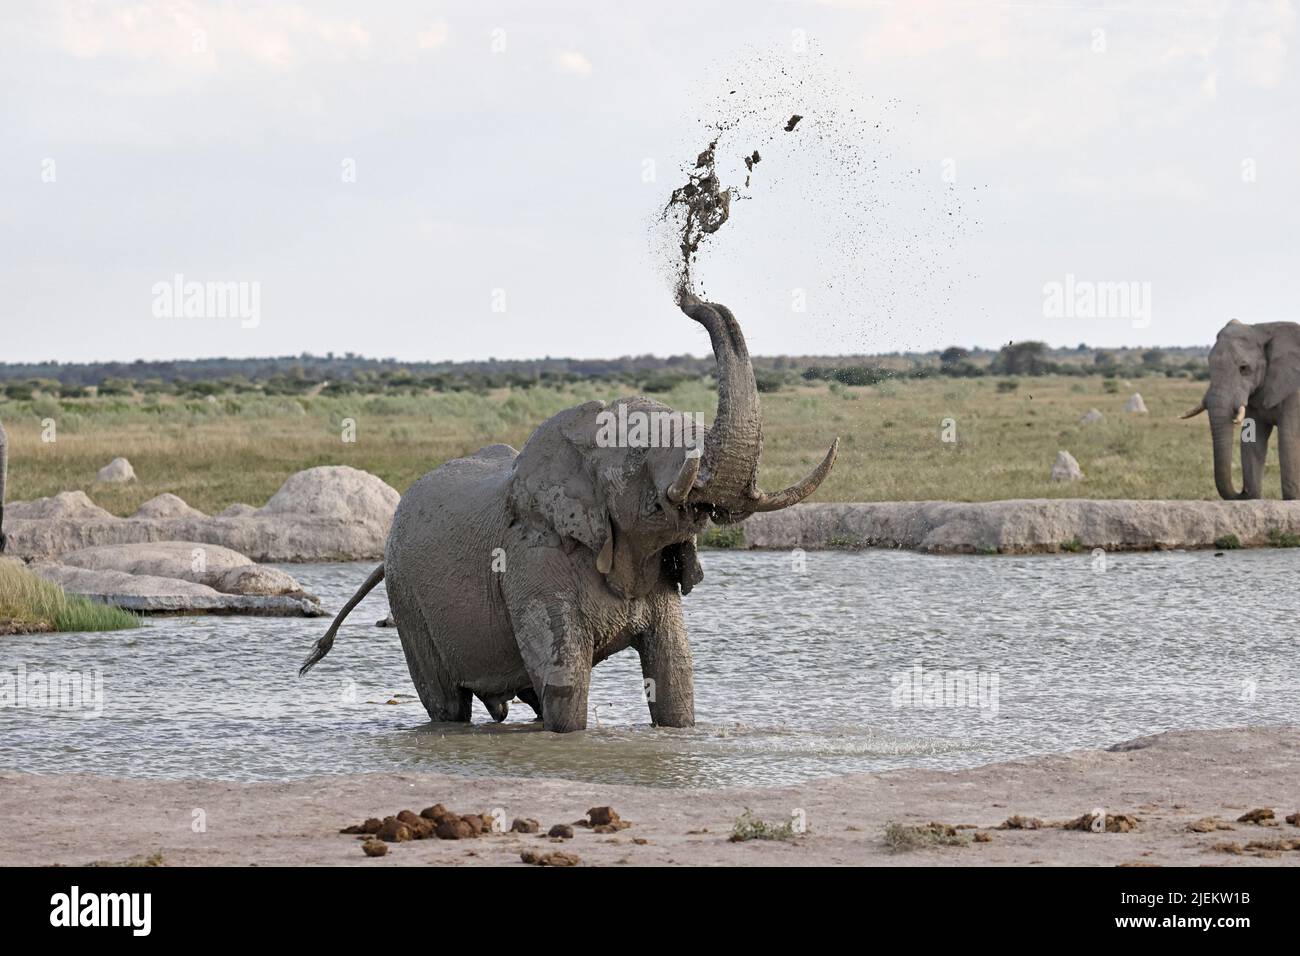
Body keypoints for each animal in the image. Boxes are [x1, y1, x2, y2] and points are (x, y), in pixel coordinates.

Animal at [300, 292, 838, 732]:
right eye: (641, 454)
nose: (687, 297)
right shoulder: (530, 558)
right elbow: (566, 682)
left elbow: (674, 675)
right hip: (408, 597)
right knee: (447, 703)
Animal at [1182, 319, 1300, 500]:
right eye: (1209, 366)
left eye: (1244, 368)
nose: (1243, 490)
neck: (1264, 328)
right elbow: (1252, 440)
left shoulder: (1295, 394)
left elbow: (1289, 440)